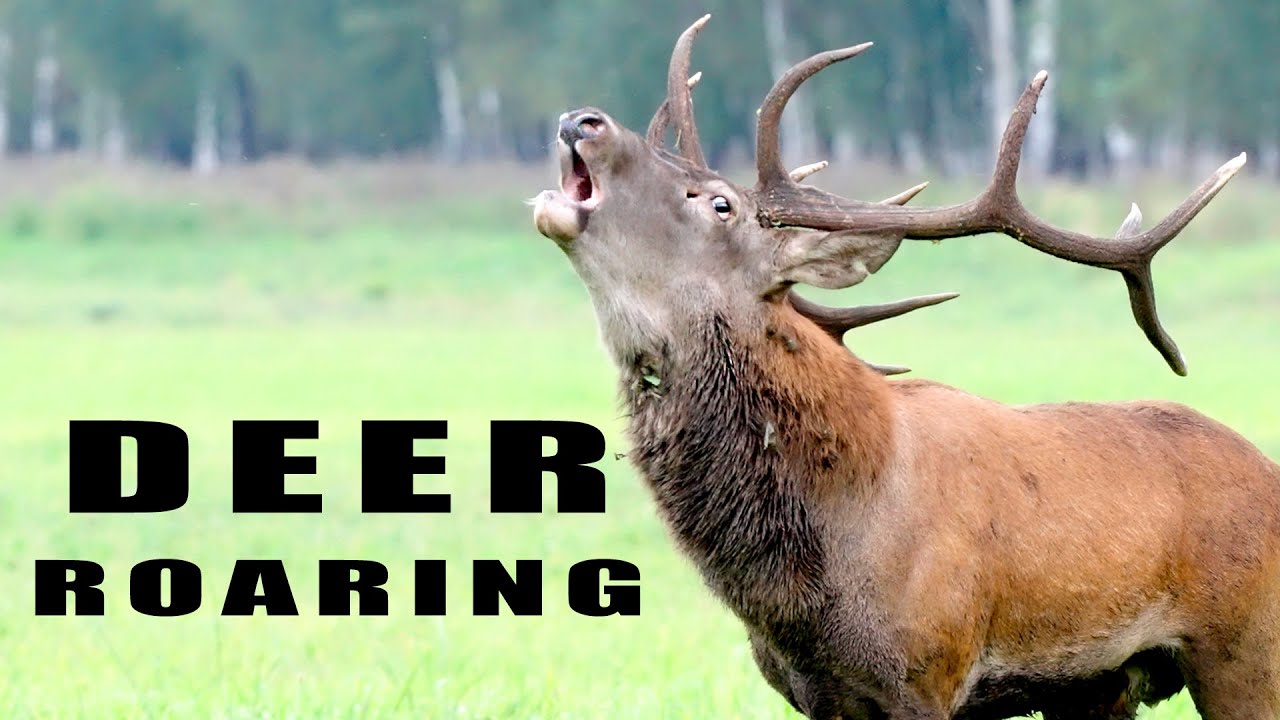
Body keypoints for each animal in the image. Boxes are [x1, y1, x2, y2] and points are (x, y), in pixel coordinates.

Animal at [531, 15, 1280, 720]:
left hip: (1244, 648)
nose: (585, 120)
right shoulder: (816, 692)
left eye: (721, 203)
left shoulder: (927, 670)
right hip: (1095, 688)